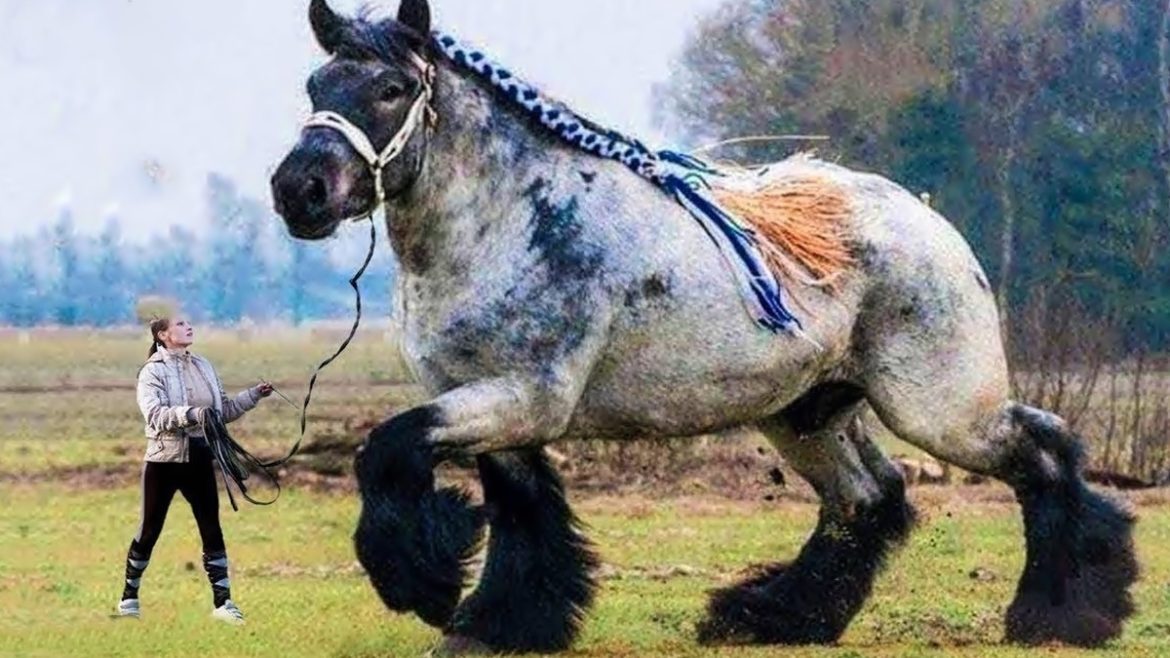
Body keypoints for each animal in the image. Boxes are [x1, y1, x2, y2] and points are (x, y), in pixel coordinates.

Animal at [270, 0, 1137, 654]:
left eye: (390, 87)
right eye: (314, 81)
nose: (299, 190)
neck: (503, 220)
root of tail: (931, 223)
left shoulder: (522, 396)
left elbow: (386, 451)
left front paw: (421, 581)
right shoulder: (492, 406)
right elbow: (521, 514)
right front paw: (496, 624)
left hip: (941, 409)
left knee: (1043, 453)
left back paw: (1062, 613)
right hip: (807, 413)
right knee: (867, 497)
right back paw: (771, 617)